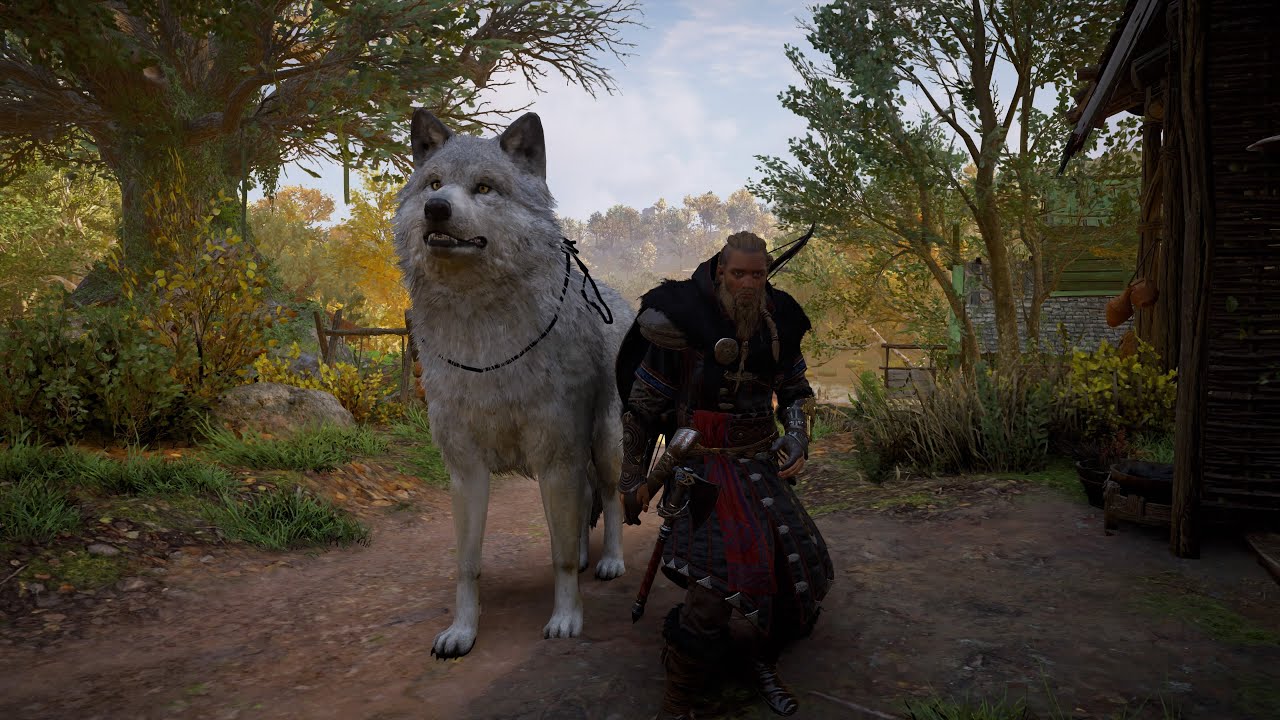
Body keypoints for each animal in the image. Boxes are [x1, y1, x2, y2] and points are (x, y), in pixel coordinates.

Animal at [393, 109, 634, 659]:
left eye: (484, 188)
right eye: (433, 184)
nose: (436, 209)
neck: (484, 339)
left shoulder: (557, 454)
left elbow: (560, 555)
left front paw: (566, 618)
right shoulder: (465, 469)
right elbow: (467, 564)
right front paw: (462, 631)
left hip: (605, 444)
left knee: (609, 497)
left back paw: (609, 561)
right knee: (578, 513)